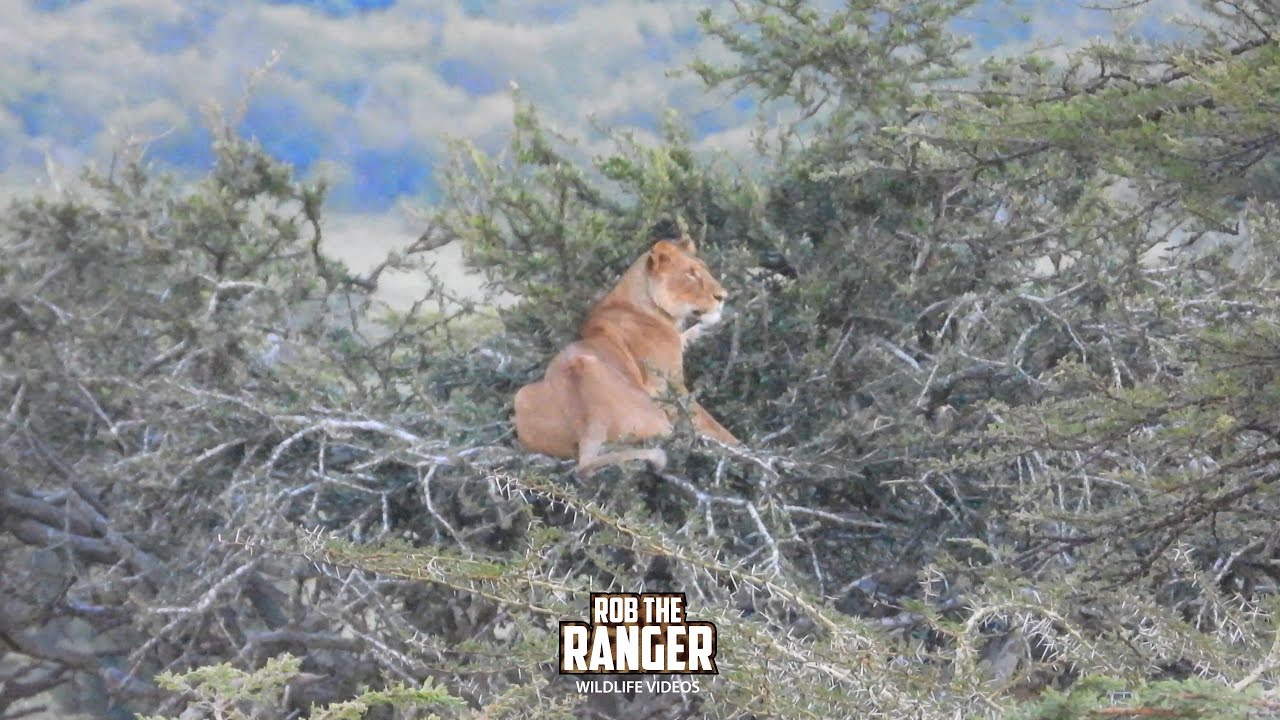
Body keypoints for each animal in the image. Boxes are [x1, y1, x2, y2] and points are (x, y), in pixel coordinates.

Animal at [513, 235, 740, 476]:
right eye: (691, 274)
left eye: (705, 270)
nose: (722, 296)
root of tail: (589, 421)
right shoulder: (667, 384)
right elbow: (705, 420)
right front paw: (739, 446)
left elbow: (687, 336)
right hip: (654, 412)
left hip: (522, 395)